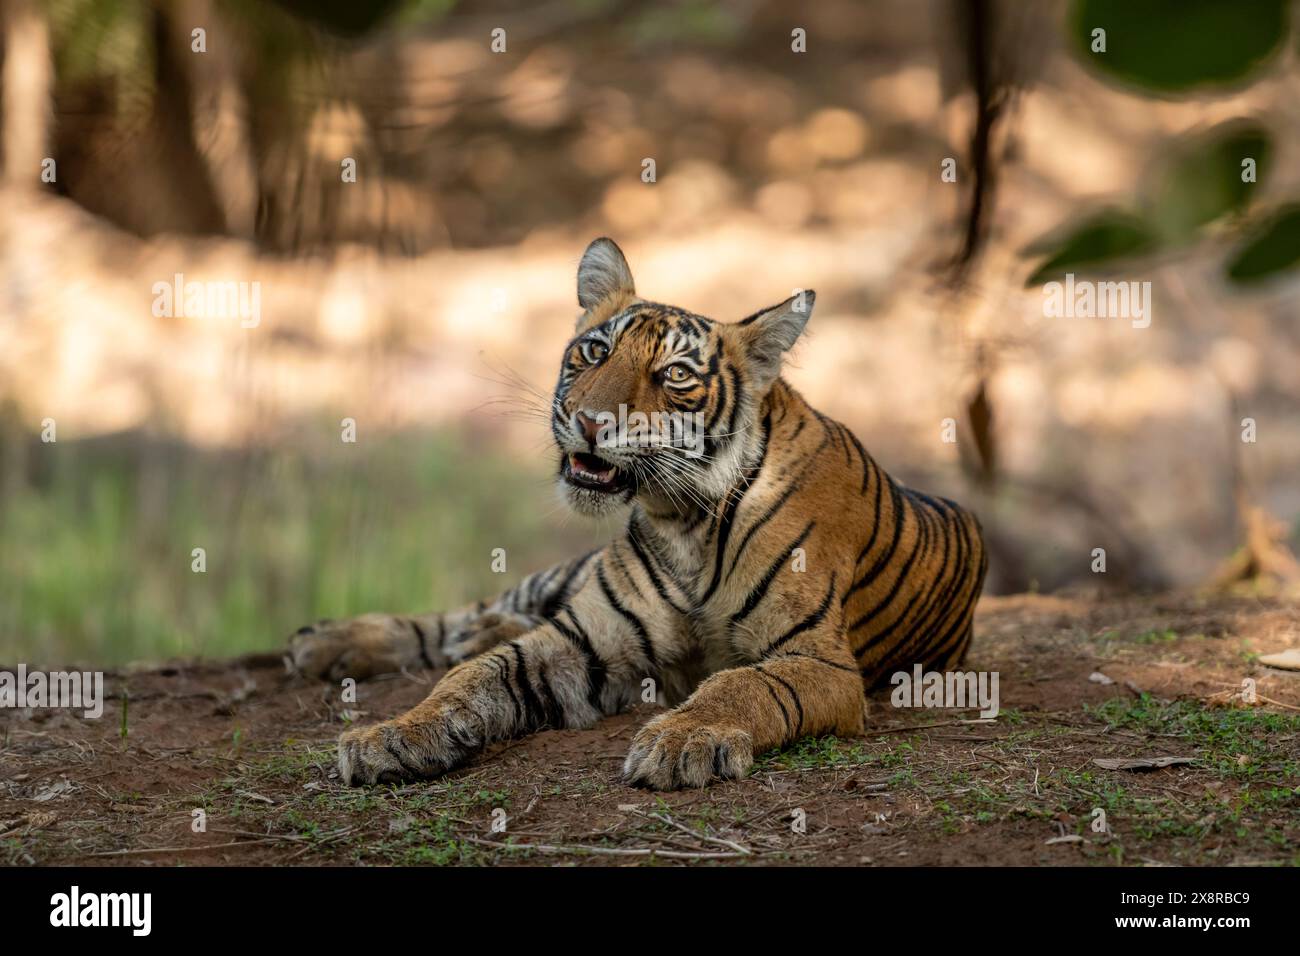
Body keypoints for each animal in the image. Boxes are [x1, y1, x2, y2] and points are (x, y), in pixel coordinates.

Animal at [288, 237, 988, 789]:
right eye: (596, 352)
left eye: (674, 374)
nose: (591, 422)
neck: (682, 519)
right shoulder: (585, 637)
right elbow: (472, 678)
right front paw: (391, 736)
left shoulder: (819, 661)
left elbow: (741, 684)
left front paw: (682, 741)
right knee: (467, 616)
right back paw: (330, 641)